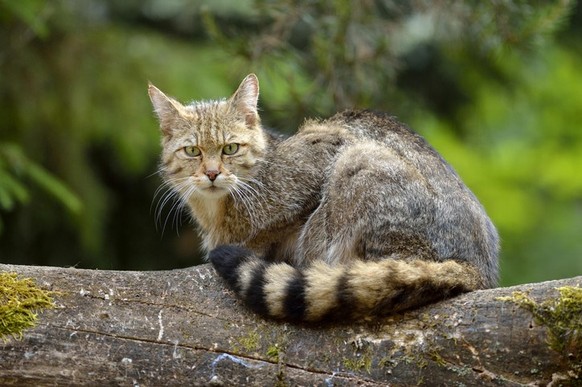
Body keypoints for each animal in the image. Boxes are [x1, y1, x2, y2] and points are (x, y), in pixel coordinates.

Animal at [148, 74, 500, 322]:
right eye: (193, 151)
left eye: (230, 148)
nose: (211, 173)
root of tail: (478, 268)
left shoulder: (326, 150)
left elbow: (278, 227)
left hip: (356, 165)